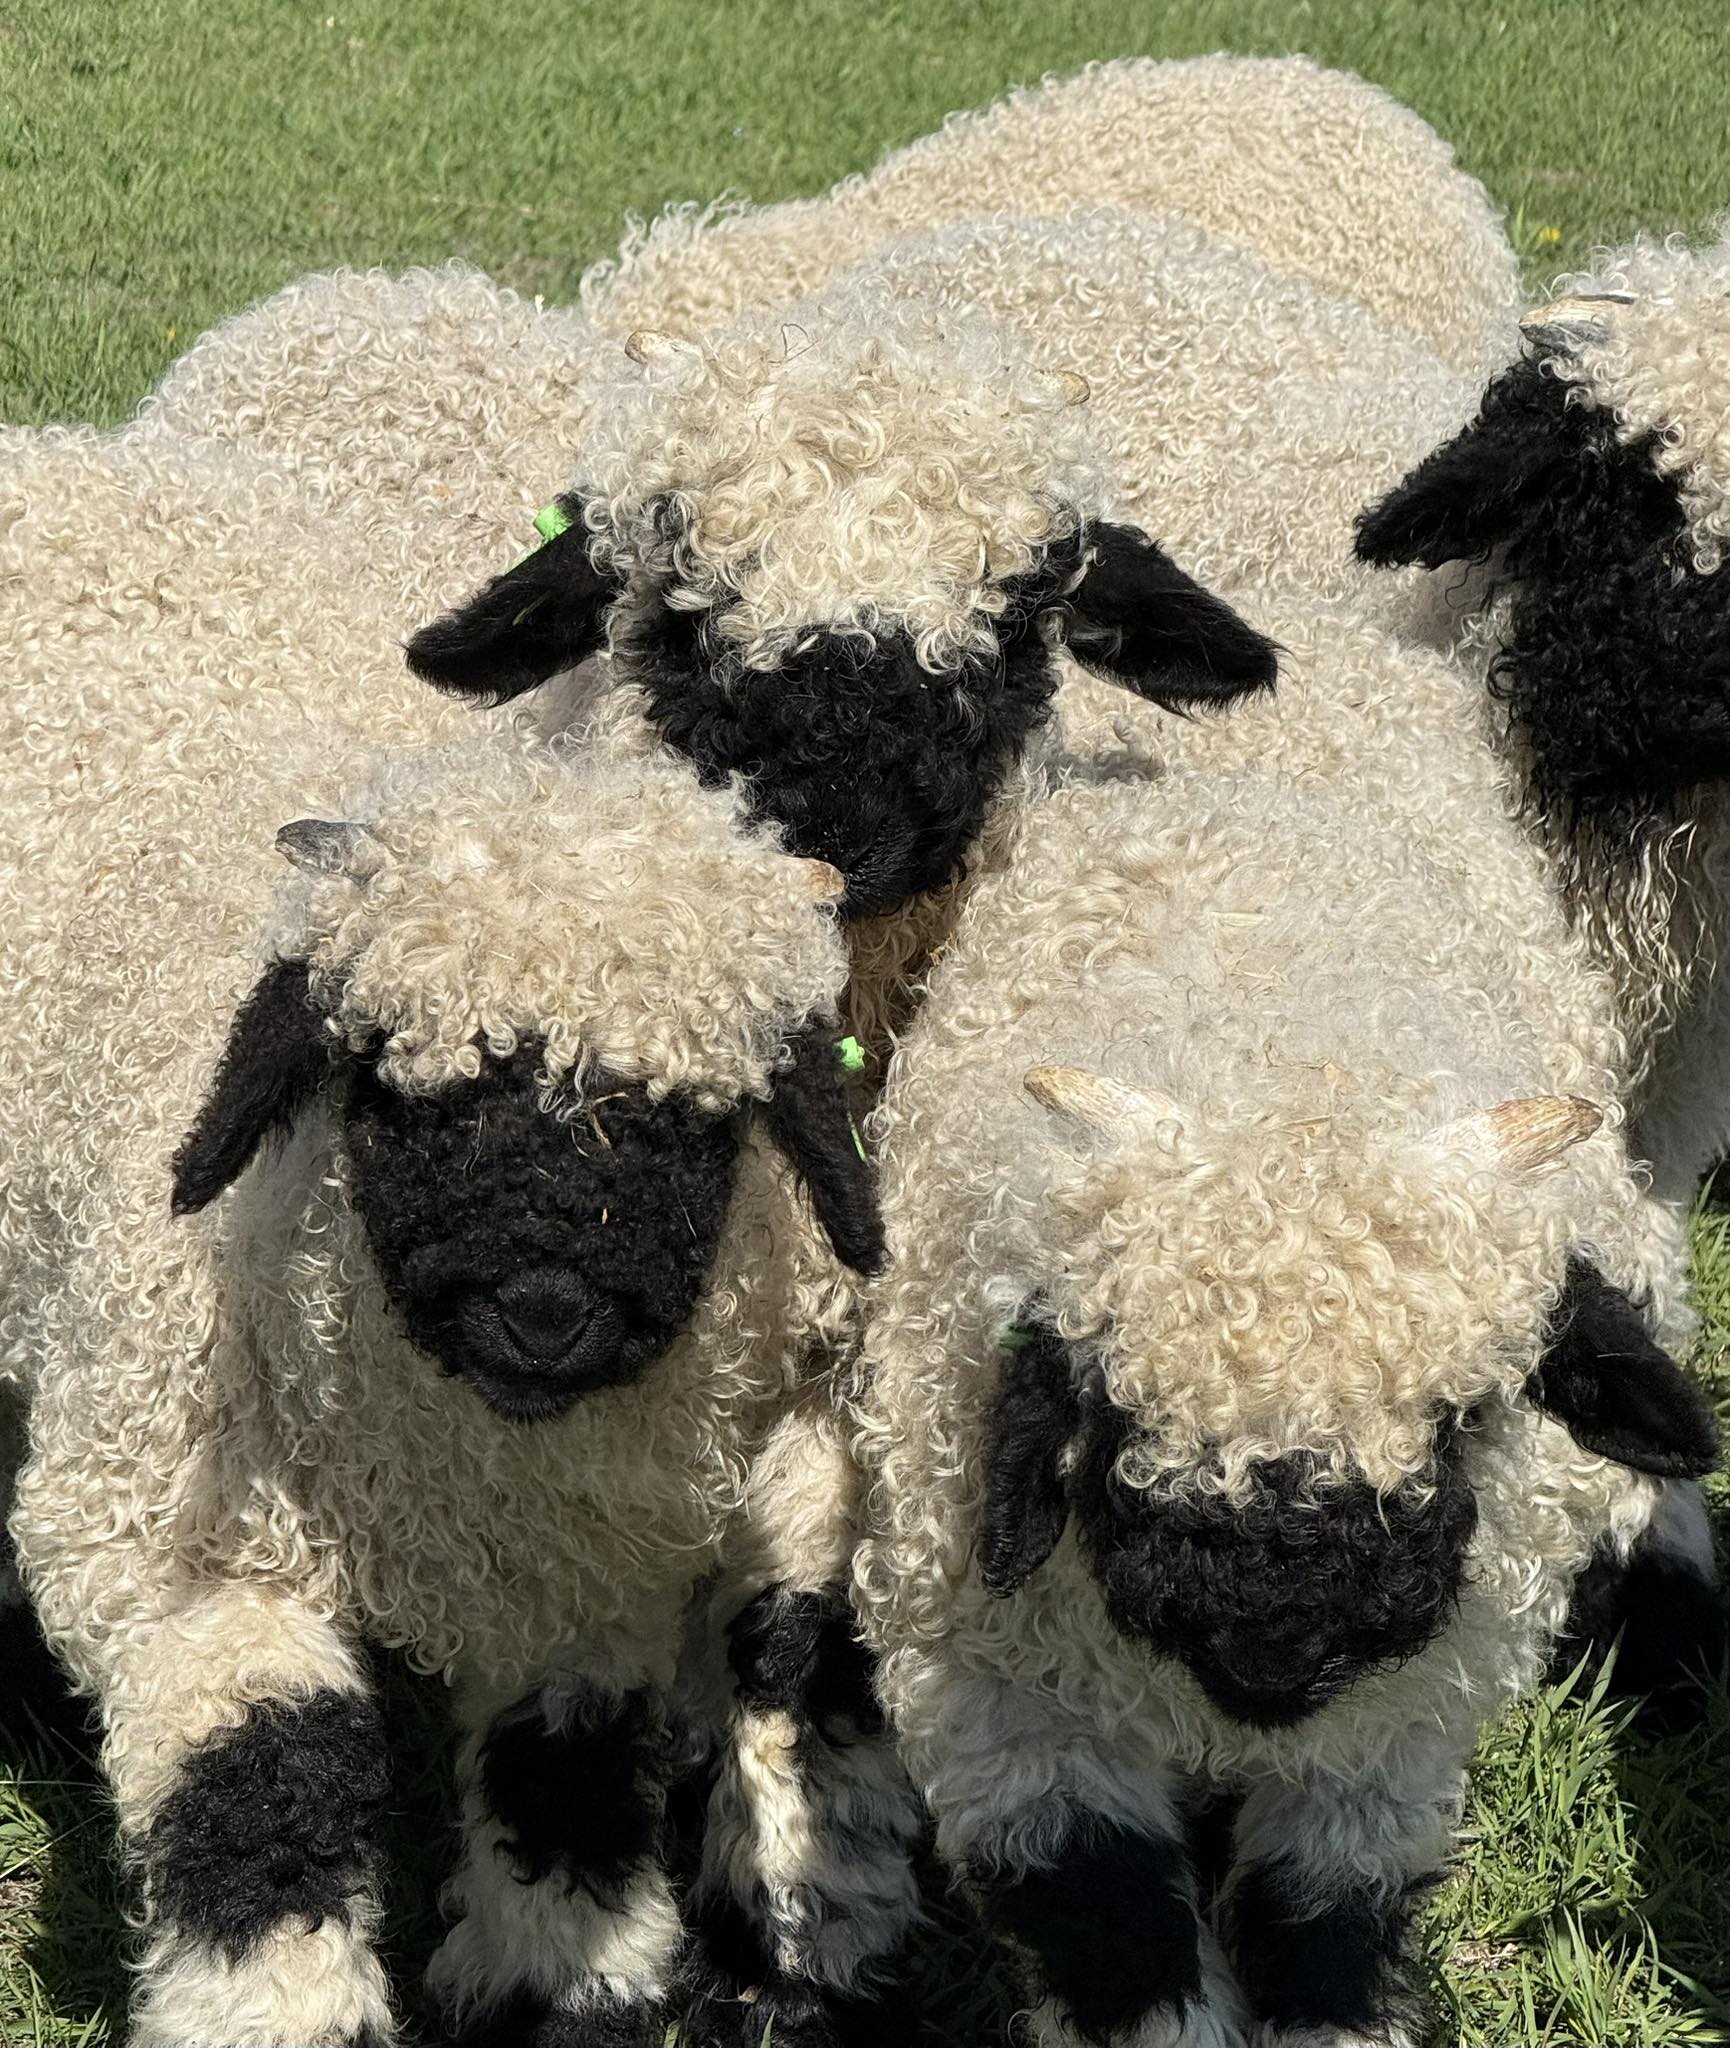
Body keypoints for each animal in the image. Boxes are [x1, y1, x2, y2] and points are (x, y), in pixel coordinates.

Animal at [0, 424, 892, 2048]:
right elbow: (260, 1795)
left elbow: (565, 1785)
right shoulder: (180, 1539)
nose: (543, 1310)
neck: (458, 1455)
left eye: (697, 1122)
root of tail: (59, 451)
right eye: (397, 1091)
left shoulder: (582, 1574)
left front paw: (562, 1993)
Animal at [849, 587, 1719, 2048]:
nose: (1276, 1643)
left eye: (1467, 1413)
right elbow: (1110, 1929)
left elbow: (1323, 1931)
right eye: (1106, 1410)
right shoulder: (998, 1696)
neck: (1280, 1047)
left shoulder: (1390, 1727)